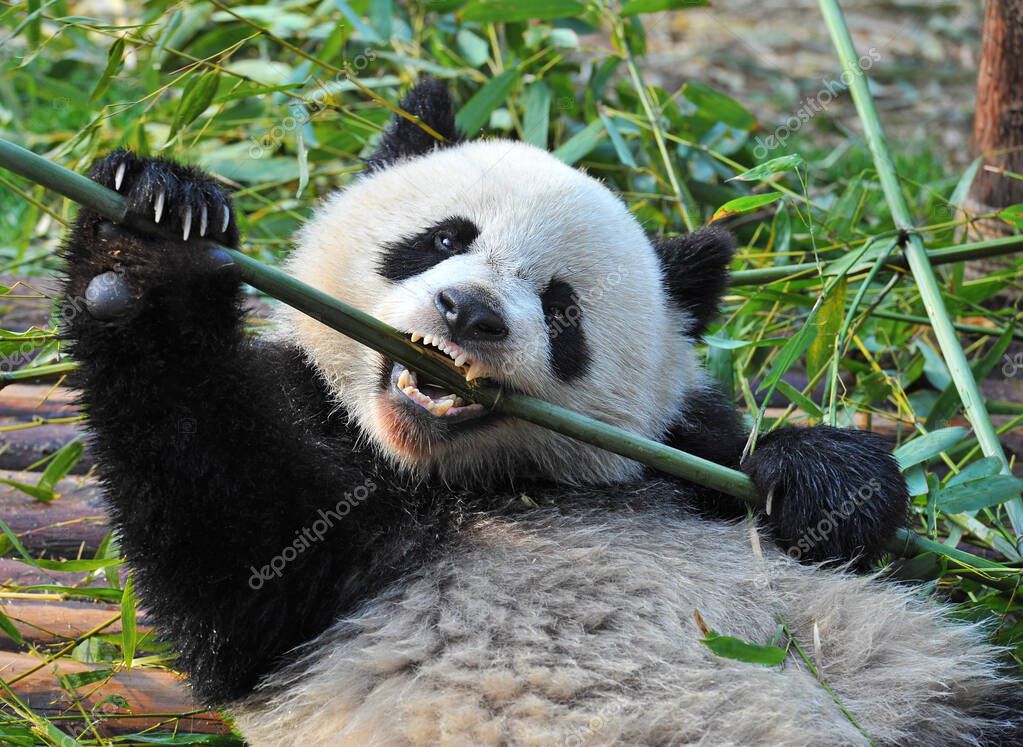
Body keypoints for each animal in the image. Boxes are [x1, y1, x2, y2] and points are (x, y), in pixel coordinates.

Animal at [61, 79, 1021, 746]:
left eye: (561, 309)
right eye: (442, 239)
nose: (469, 313)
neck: (454, 480)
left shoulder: (671, 455)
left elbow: (777, 479)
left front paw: (821, 481)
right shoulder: (302, 546)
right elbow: (229, 552)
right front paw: (152, 237)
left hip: (930, 692)